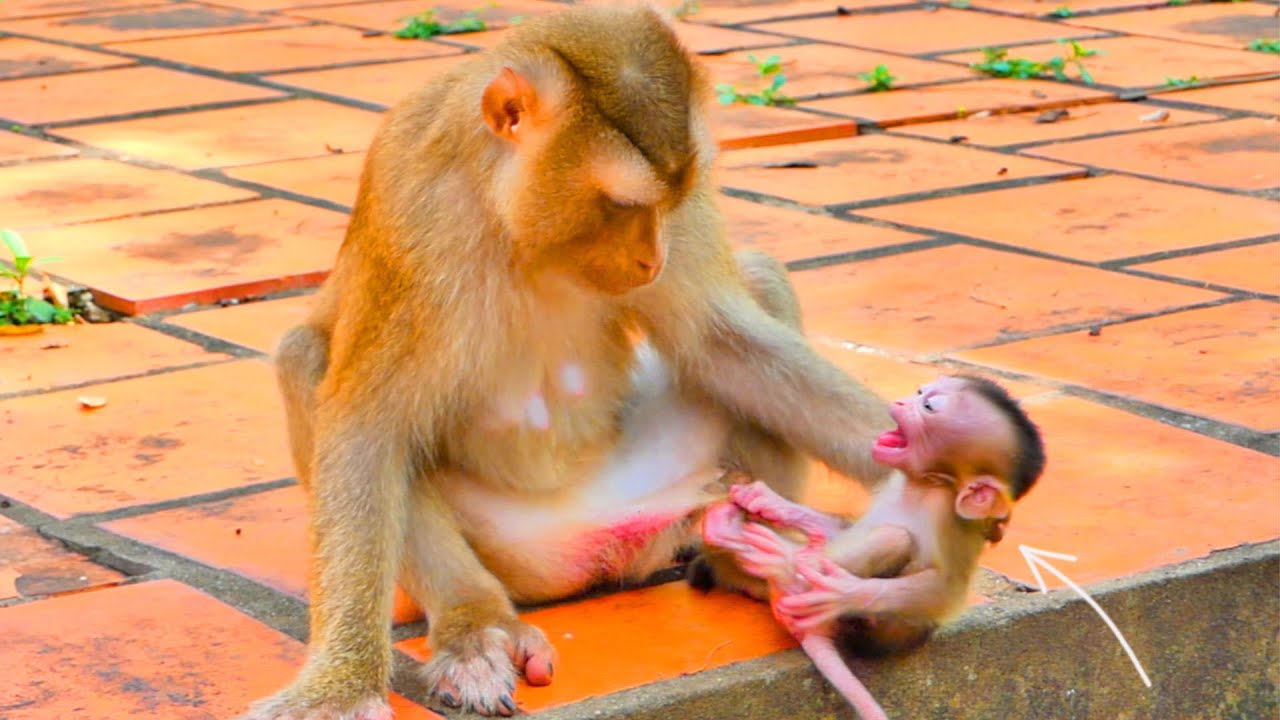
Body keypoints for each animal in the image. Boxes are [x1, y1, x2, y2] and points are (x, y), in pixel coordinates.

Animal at [245, 4, 895, 719]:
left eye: (669, 204)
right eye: (622, 204)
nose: (651, 259)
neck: (514, 220)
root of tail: (596, 544)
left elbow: (719, 342)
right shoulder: (414, 200)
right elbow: (369, 423)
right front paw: (341, 685)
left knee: (756, 283)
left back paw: (752, 561)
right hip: (513, 548)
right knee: (306, 360)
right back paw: (477, 625)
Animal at [702, 374, 1047, 720]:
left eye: (928, 406)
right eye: (921, 392)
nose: (900, 402)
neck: (922, 486)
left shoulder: (951, 526)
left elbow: (944, 590)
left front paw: (846, 593)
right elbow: (849, 529)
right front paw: (771, 503)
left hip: (876, 630)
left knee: (895, 538)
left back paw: (785, 569)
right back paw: (738, 536)